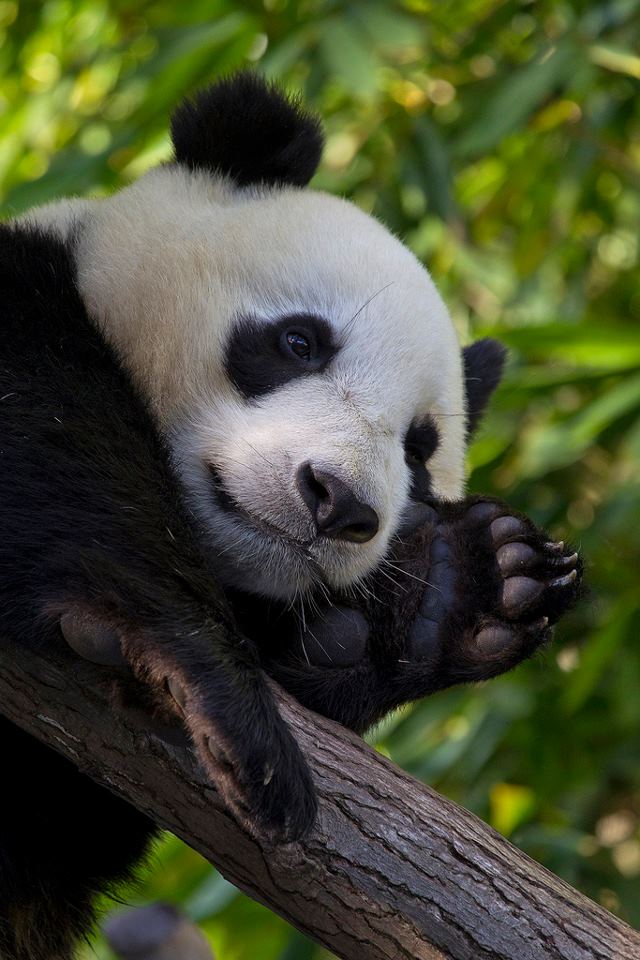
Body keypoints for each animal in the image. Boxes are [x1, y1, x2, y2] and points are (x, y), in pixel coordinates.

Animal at [0, 73, 580, 960]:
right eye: (300, 341)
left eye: (418, 450)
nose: (338, 501)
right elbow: (51, 435)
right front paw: (217, 686)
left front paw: (458, 589)